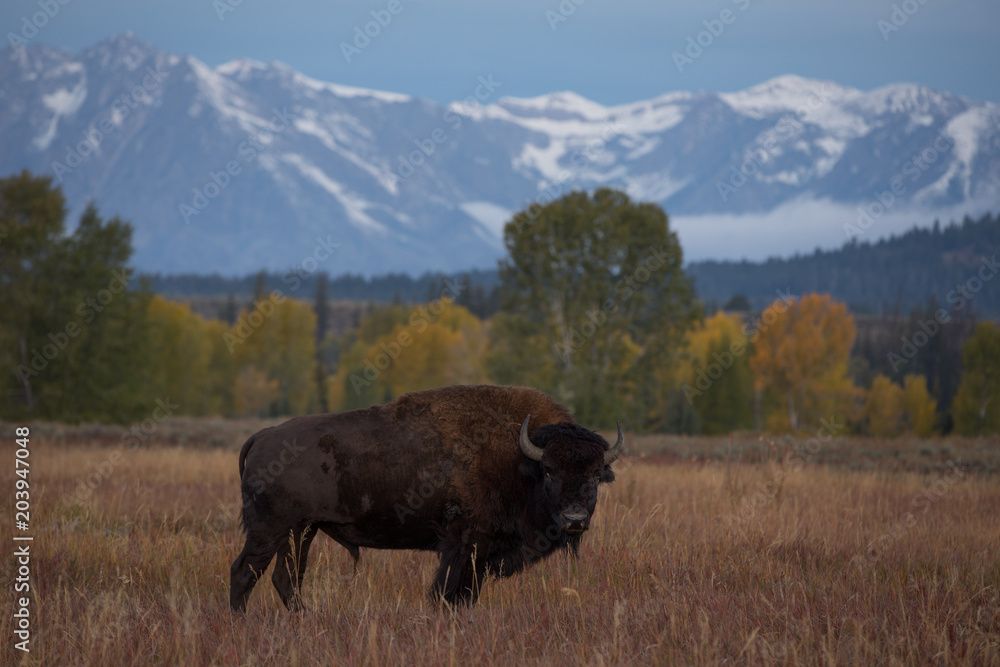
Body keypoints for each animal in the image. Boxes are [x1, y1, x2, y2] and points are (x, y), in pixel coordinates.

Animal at [230, 384, 623, 611]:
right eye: (550, 471)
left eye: (595, 475)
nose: (574, 520)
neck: (519, 459)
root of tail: (262, 436)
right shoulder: (464, 546)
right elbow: (449, 593)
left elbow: (465, 595)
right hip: (269, 531)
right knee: (244, 573)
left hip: (301, 531)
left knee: (286, 579)